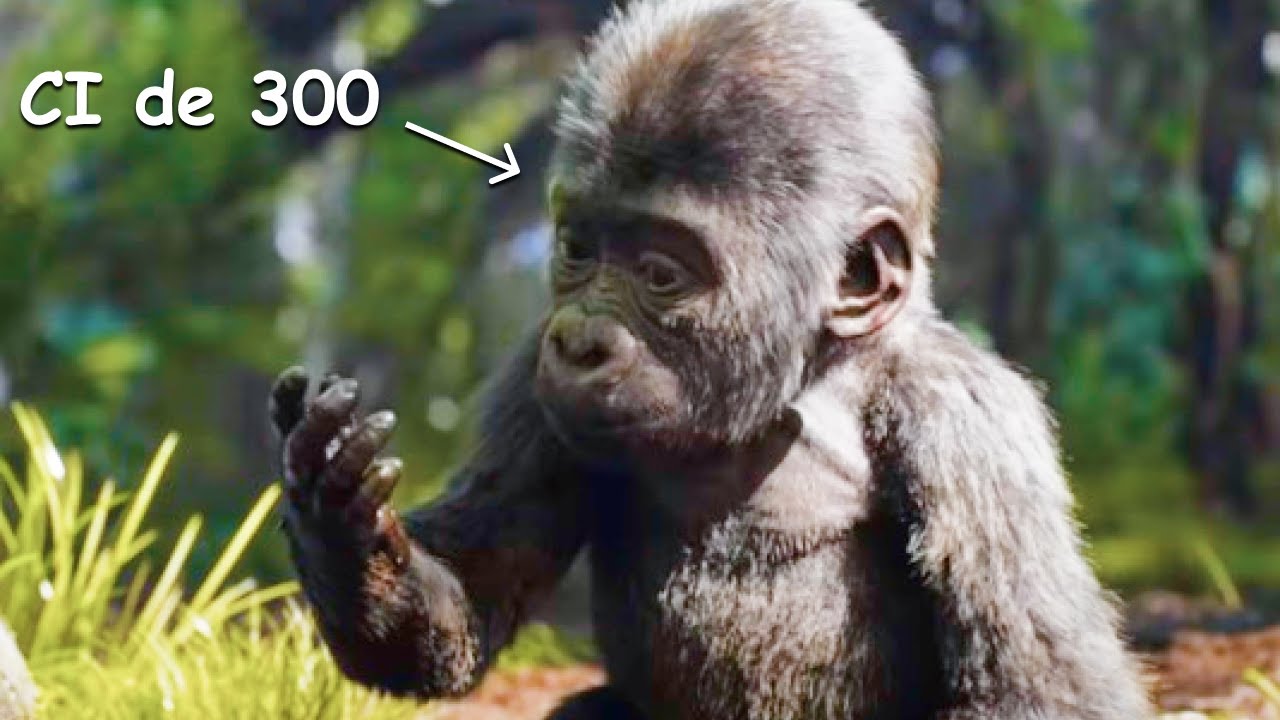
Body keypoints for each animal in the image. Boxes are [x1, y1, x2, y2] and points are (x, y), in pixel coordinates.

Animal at [268, 0, 1152, 718]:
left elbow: (1039, 690)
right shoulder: (532, 375)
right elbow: (476, 589)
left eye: (662, 273)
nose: (578, 342)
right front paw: (340, 526)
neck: (804, 380)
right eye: (578, 250)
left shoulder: (966, 421)